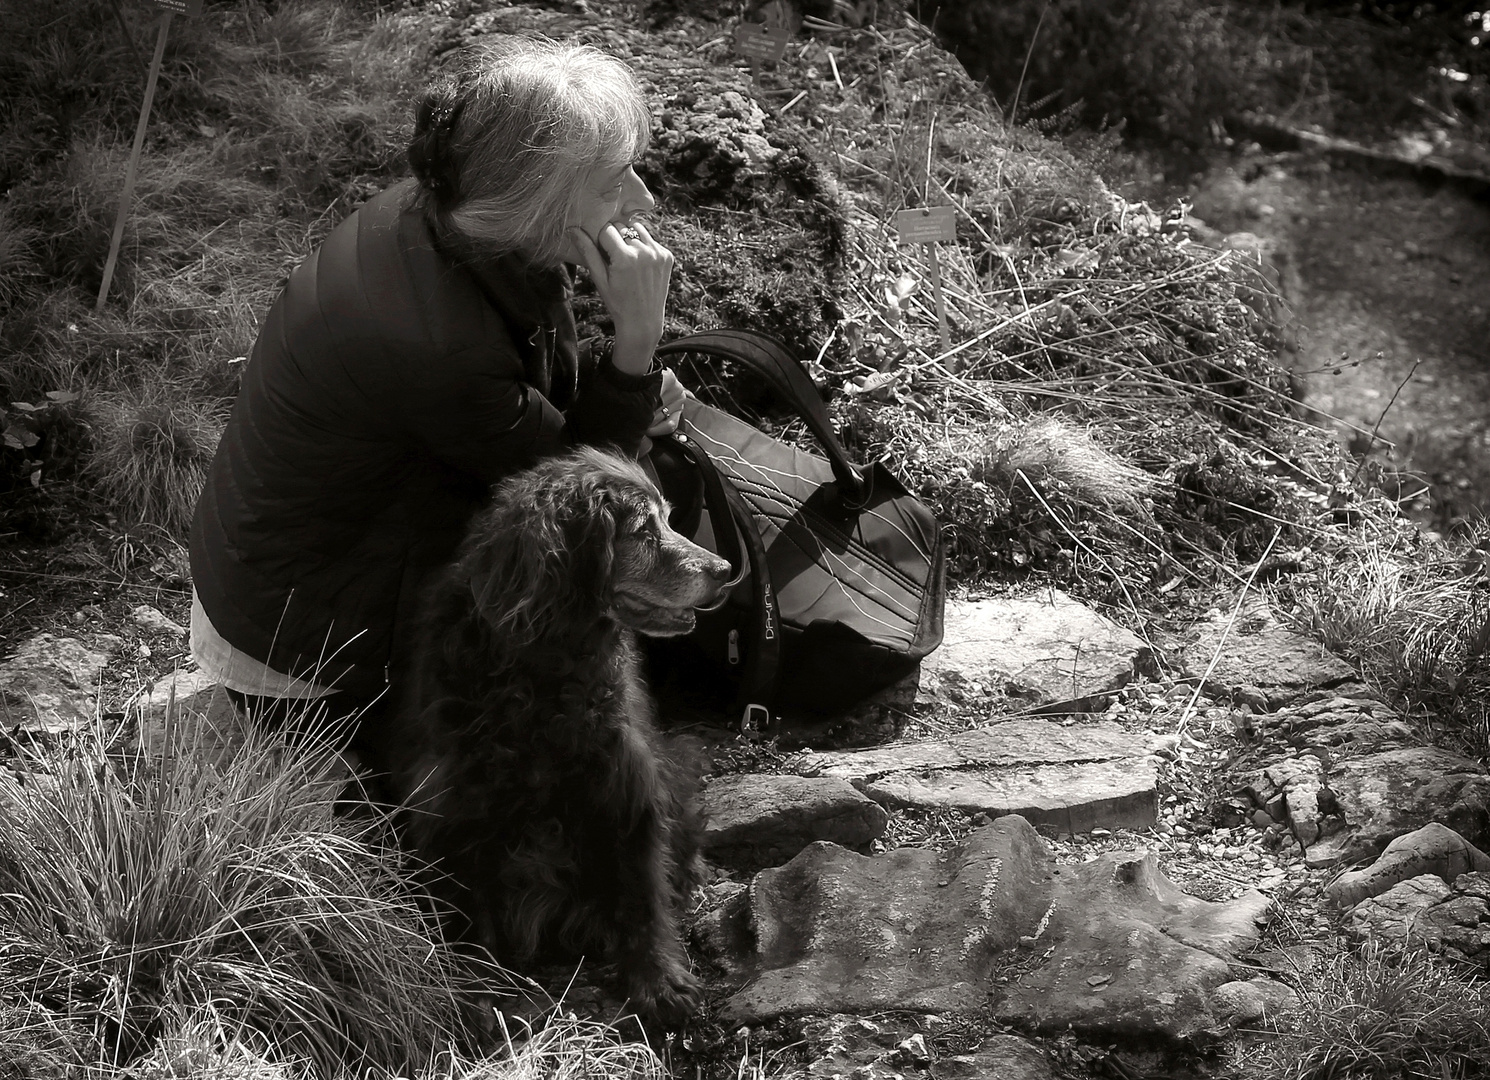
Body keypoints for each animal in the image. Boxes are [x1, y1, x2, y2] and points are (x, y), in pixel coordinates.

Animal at [387, 443, 730, 1018]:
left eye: (667, 516)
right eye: (642, 529)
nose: (725, 569)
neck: (546, 661)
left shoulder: (624, 785)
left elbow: (642, 894)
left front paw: (658, 980)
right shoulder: (455, 809)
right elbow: (470, 920)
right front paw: (480, 995)